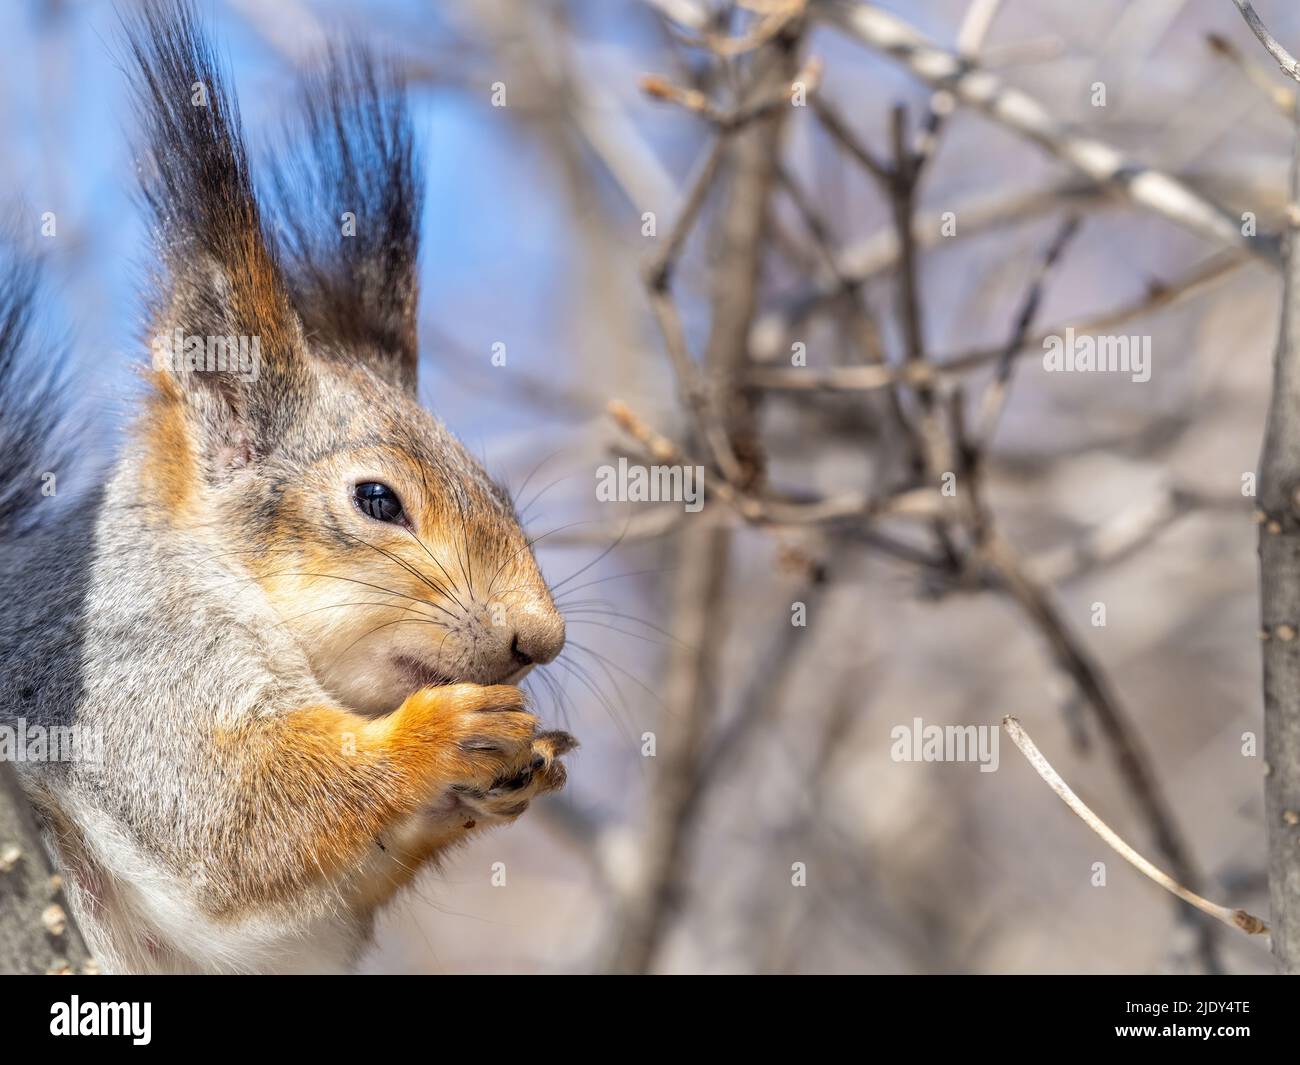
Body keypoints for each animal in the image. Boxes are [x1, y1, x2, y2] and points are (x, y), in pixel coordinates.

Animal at [0, 1, 576, 974]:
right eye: (377, 499)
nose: (539, 635)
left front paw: (513, 768)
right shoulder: (114, 663)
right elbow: (224, 809)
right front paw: (436, 740)